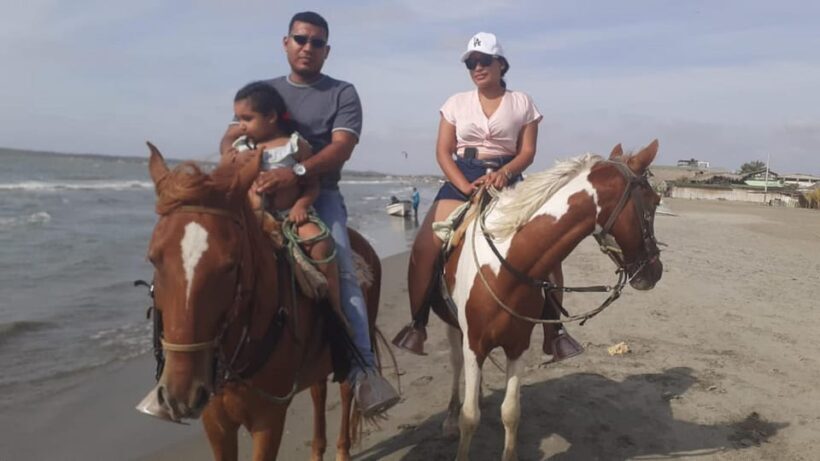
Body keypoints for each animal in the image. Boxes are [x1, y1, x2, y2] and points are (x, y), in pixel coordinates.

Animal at [141, 144, 383, 461]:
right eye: (153, 258)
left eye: (230, 264)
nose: (180, 395)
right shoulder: (216, 422)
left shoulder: (268, 419)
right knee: (318, 393)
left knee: (346, 392)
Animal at [428, 141, 664, 460]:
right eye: (654, 202)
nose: (656, 270)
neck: (508, 266)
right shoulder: (474, 343)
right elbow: (470, 418)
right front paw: (460, 421)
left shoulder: (518, 346)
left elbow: (511, 412)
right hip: (454, 328)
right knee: (455, 365)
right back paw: (450, 418)